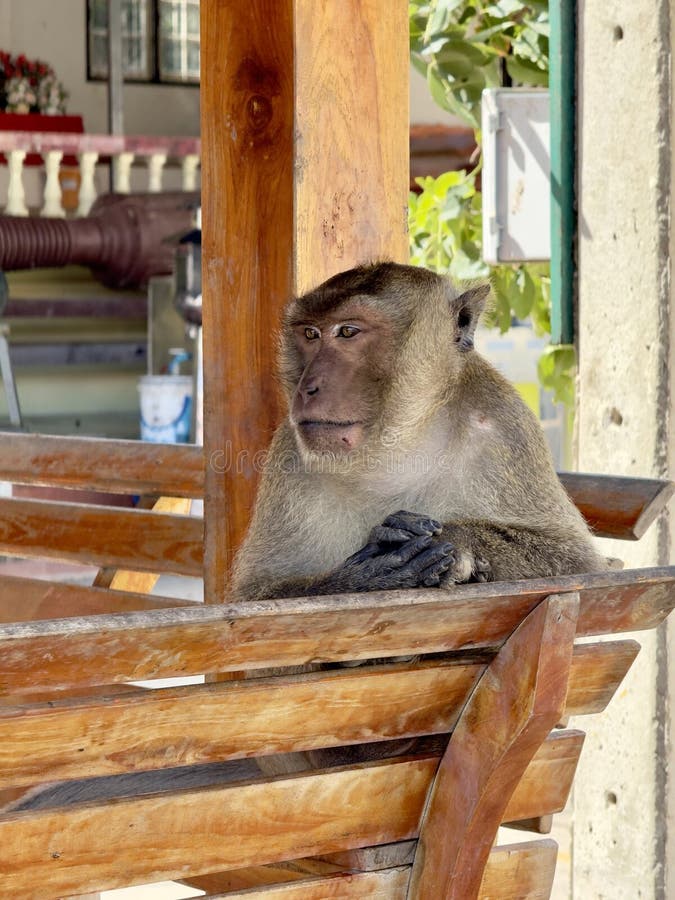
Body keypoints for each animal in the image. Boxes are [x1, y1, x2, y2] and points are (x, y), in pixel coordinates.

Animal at [231, 261, 607, 605]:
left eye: (348, 332)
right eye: (310, 334)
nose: (307, 388)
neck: (398, 440)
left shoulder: (506, 425)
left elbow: (577, 561)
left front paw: (456, 540)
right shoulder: (288, 453)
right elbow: (253, 593)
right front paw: (369, 573)